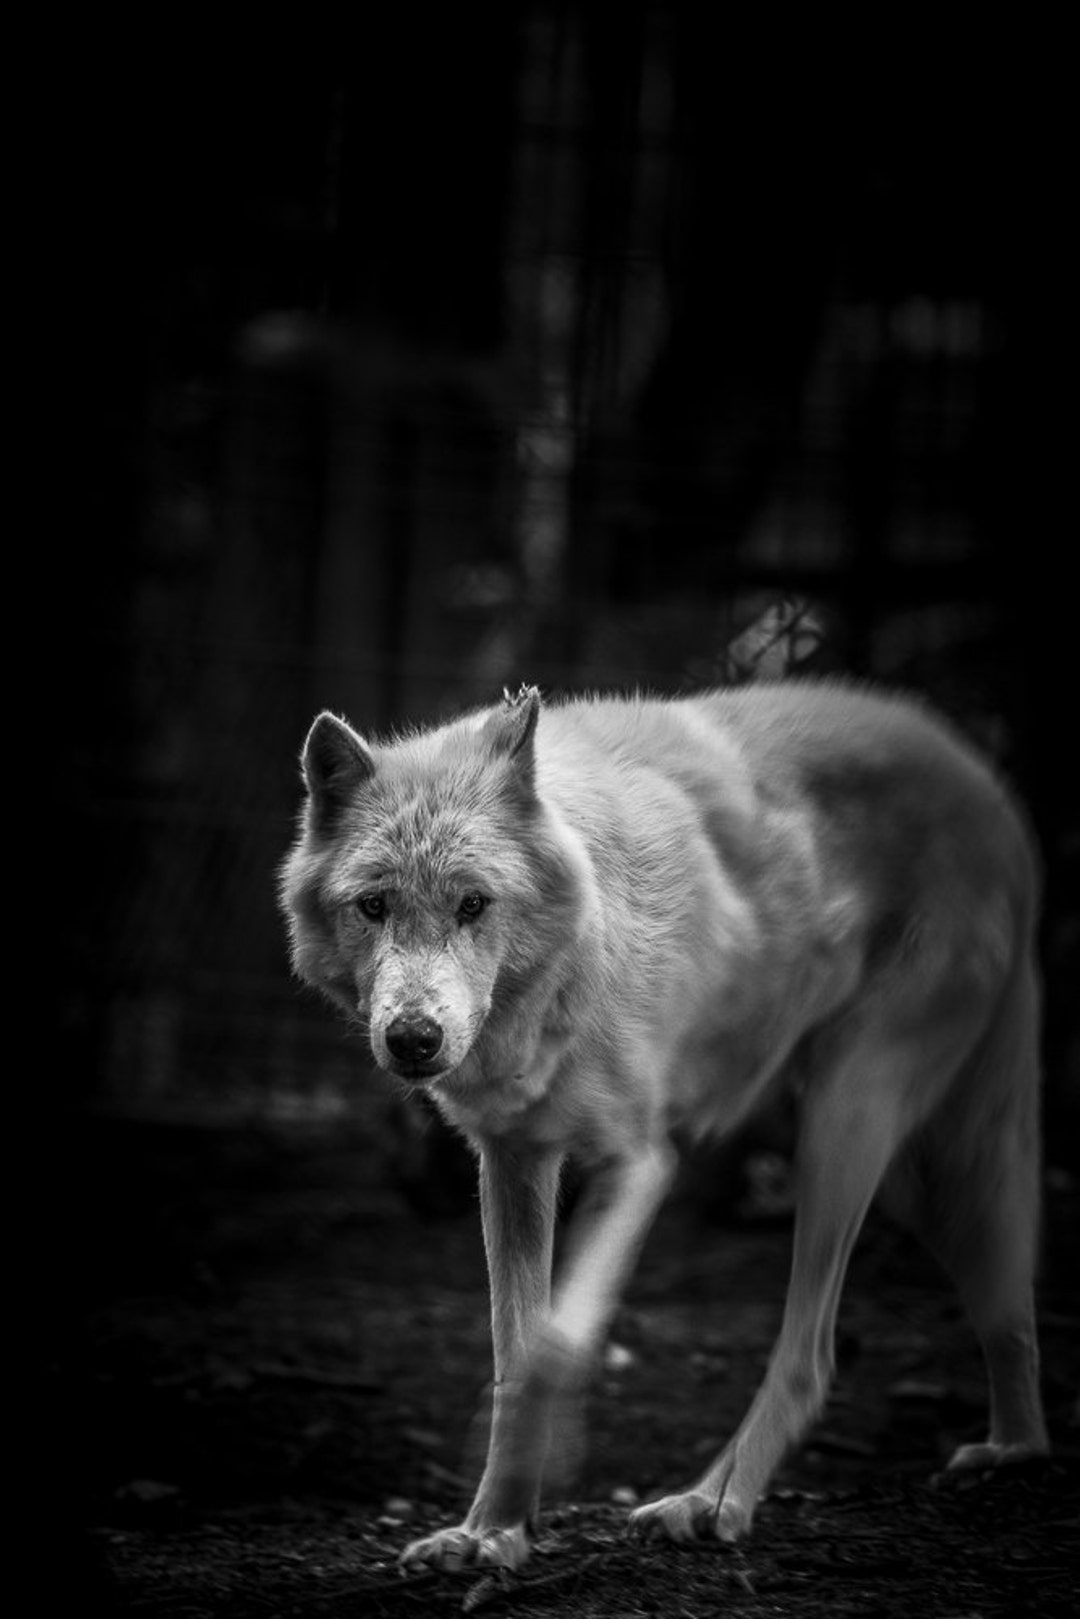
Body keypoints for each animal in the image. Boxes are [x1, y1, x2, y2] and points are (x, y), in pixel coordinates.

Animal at [280, 680, 1048, 1571]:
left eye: (474, 904)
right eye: (373, 905)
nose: (413, 1038)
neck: (581, 949)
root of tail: (988, 789)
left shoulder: (641, 1162)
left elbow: (553, 1348)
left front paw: (530, 1500)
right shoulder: (514, 1160)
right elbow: (513, 1353)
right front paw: (491, 1529)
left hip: (849, 1117)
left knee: (812, 1350)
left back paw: (711, 1500)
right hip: (904, 1173)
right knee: (1005, 1301)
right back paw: (1016, 1448)